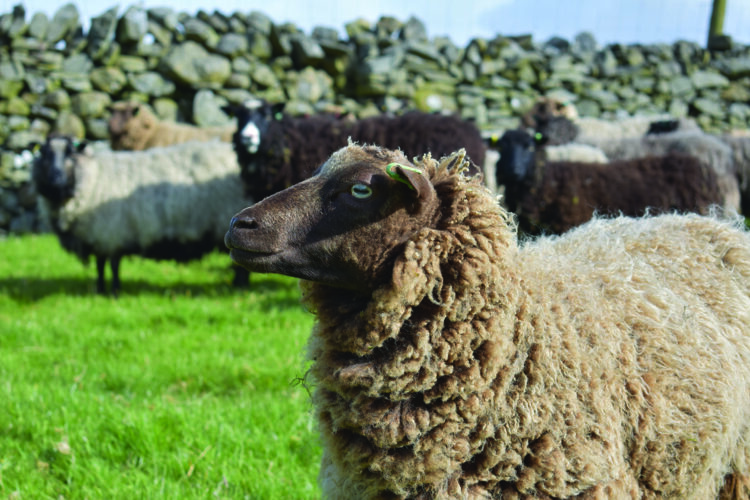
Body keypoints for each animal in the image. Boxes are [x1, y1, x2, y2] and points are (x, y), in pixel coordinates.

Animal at [33, 134, 252, 295]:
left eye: (70, 154)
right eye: (44, 154)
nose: (55, 179)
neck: (93, 178)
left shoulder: (113, 234)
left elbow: (112, 265)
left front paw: (114, 292)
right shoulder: (100, 237)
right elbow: (100, 266)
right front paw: (100, 290)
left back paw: (239, 286)